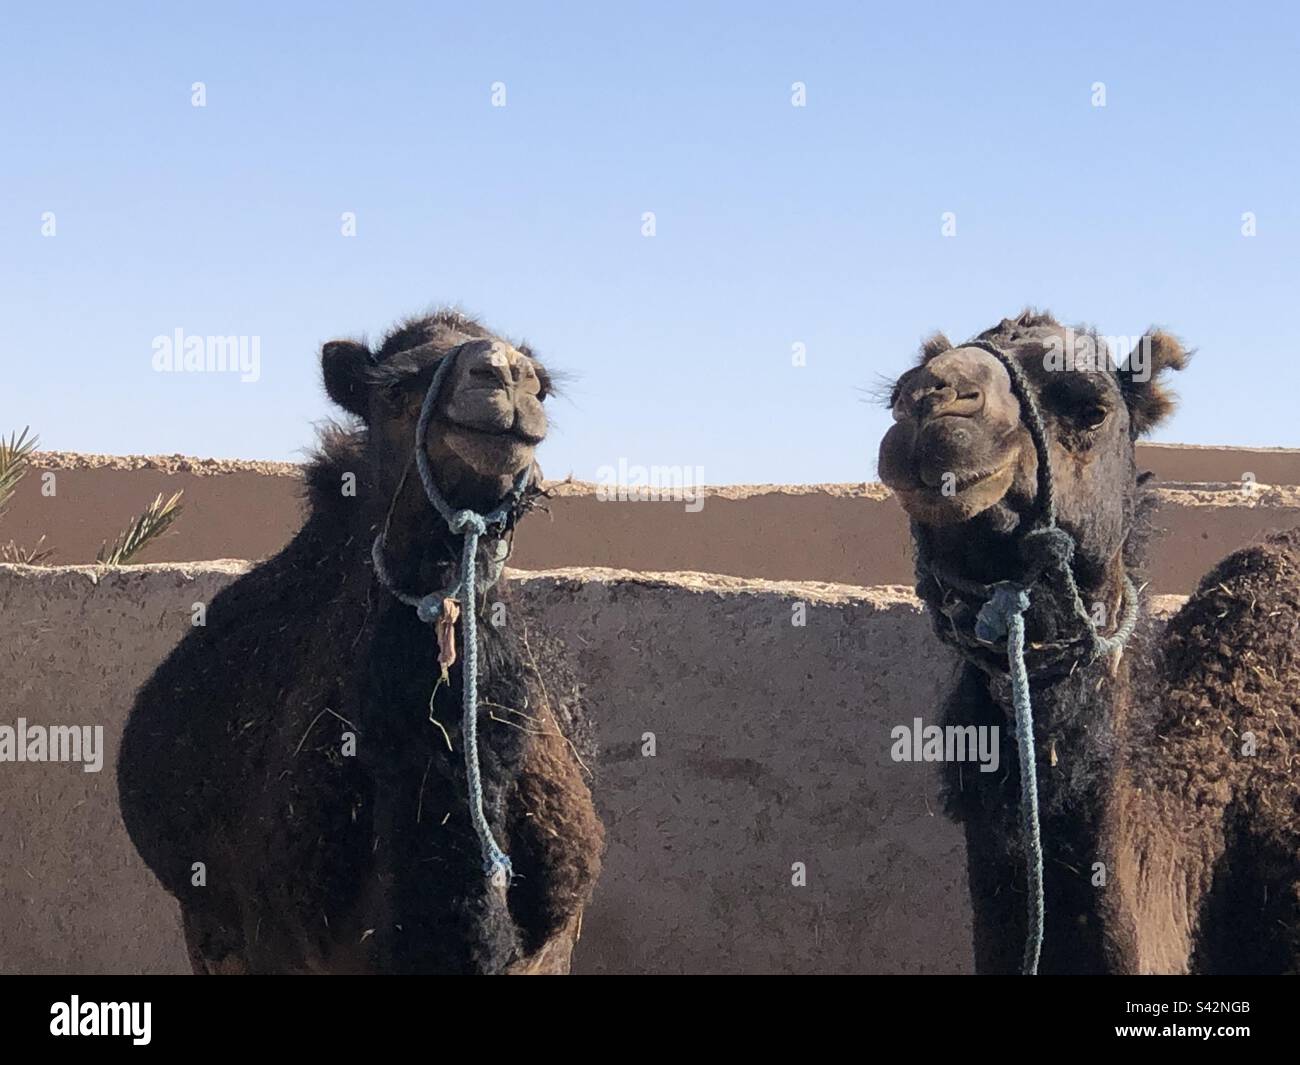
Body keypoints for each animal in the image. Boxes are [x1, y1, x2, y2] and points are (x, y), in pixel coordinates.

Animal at [118, 310, 604, 974]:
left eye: (544, 387)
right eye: (396, 389)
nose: (504, 374)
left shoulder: (551, 948)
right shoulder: (275, 941)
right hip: (206, 923)